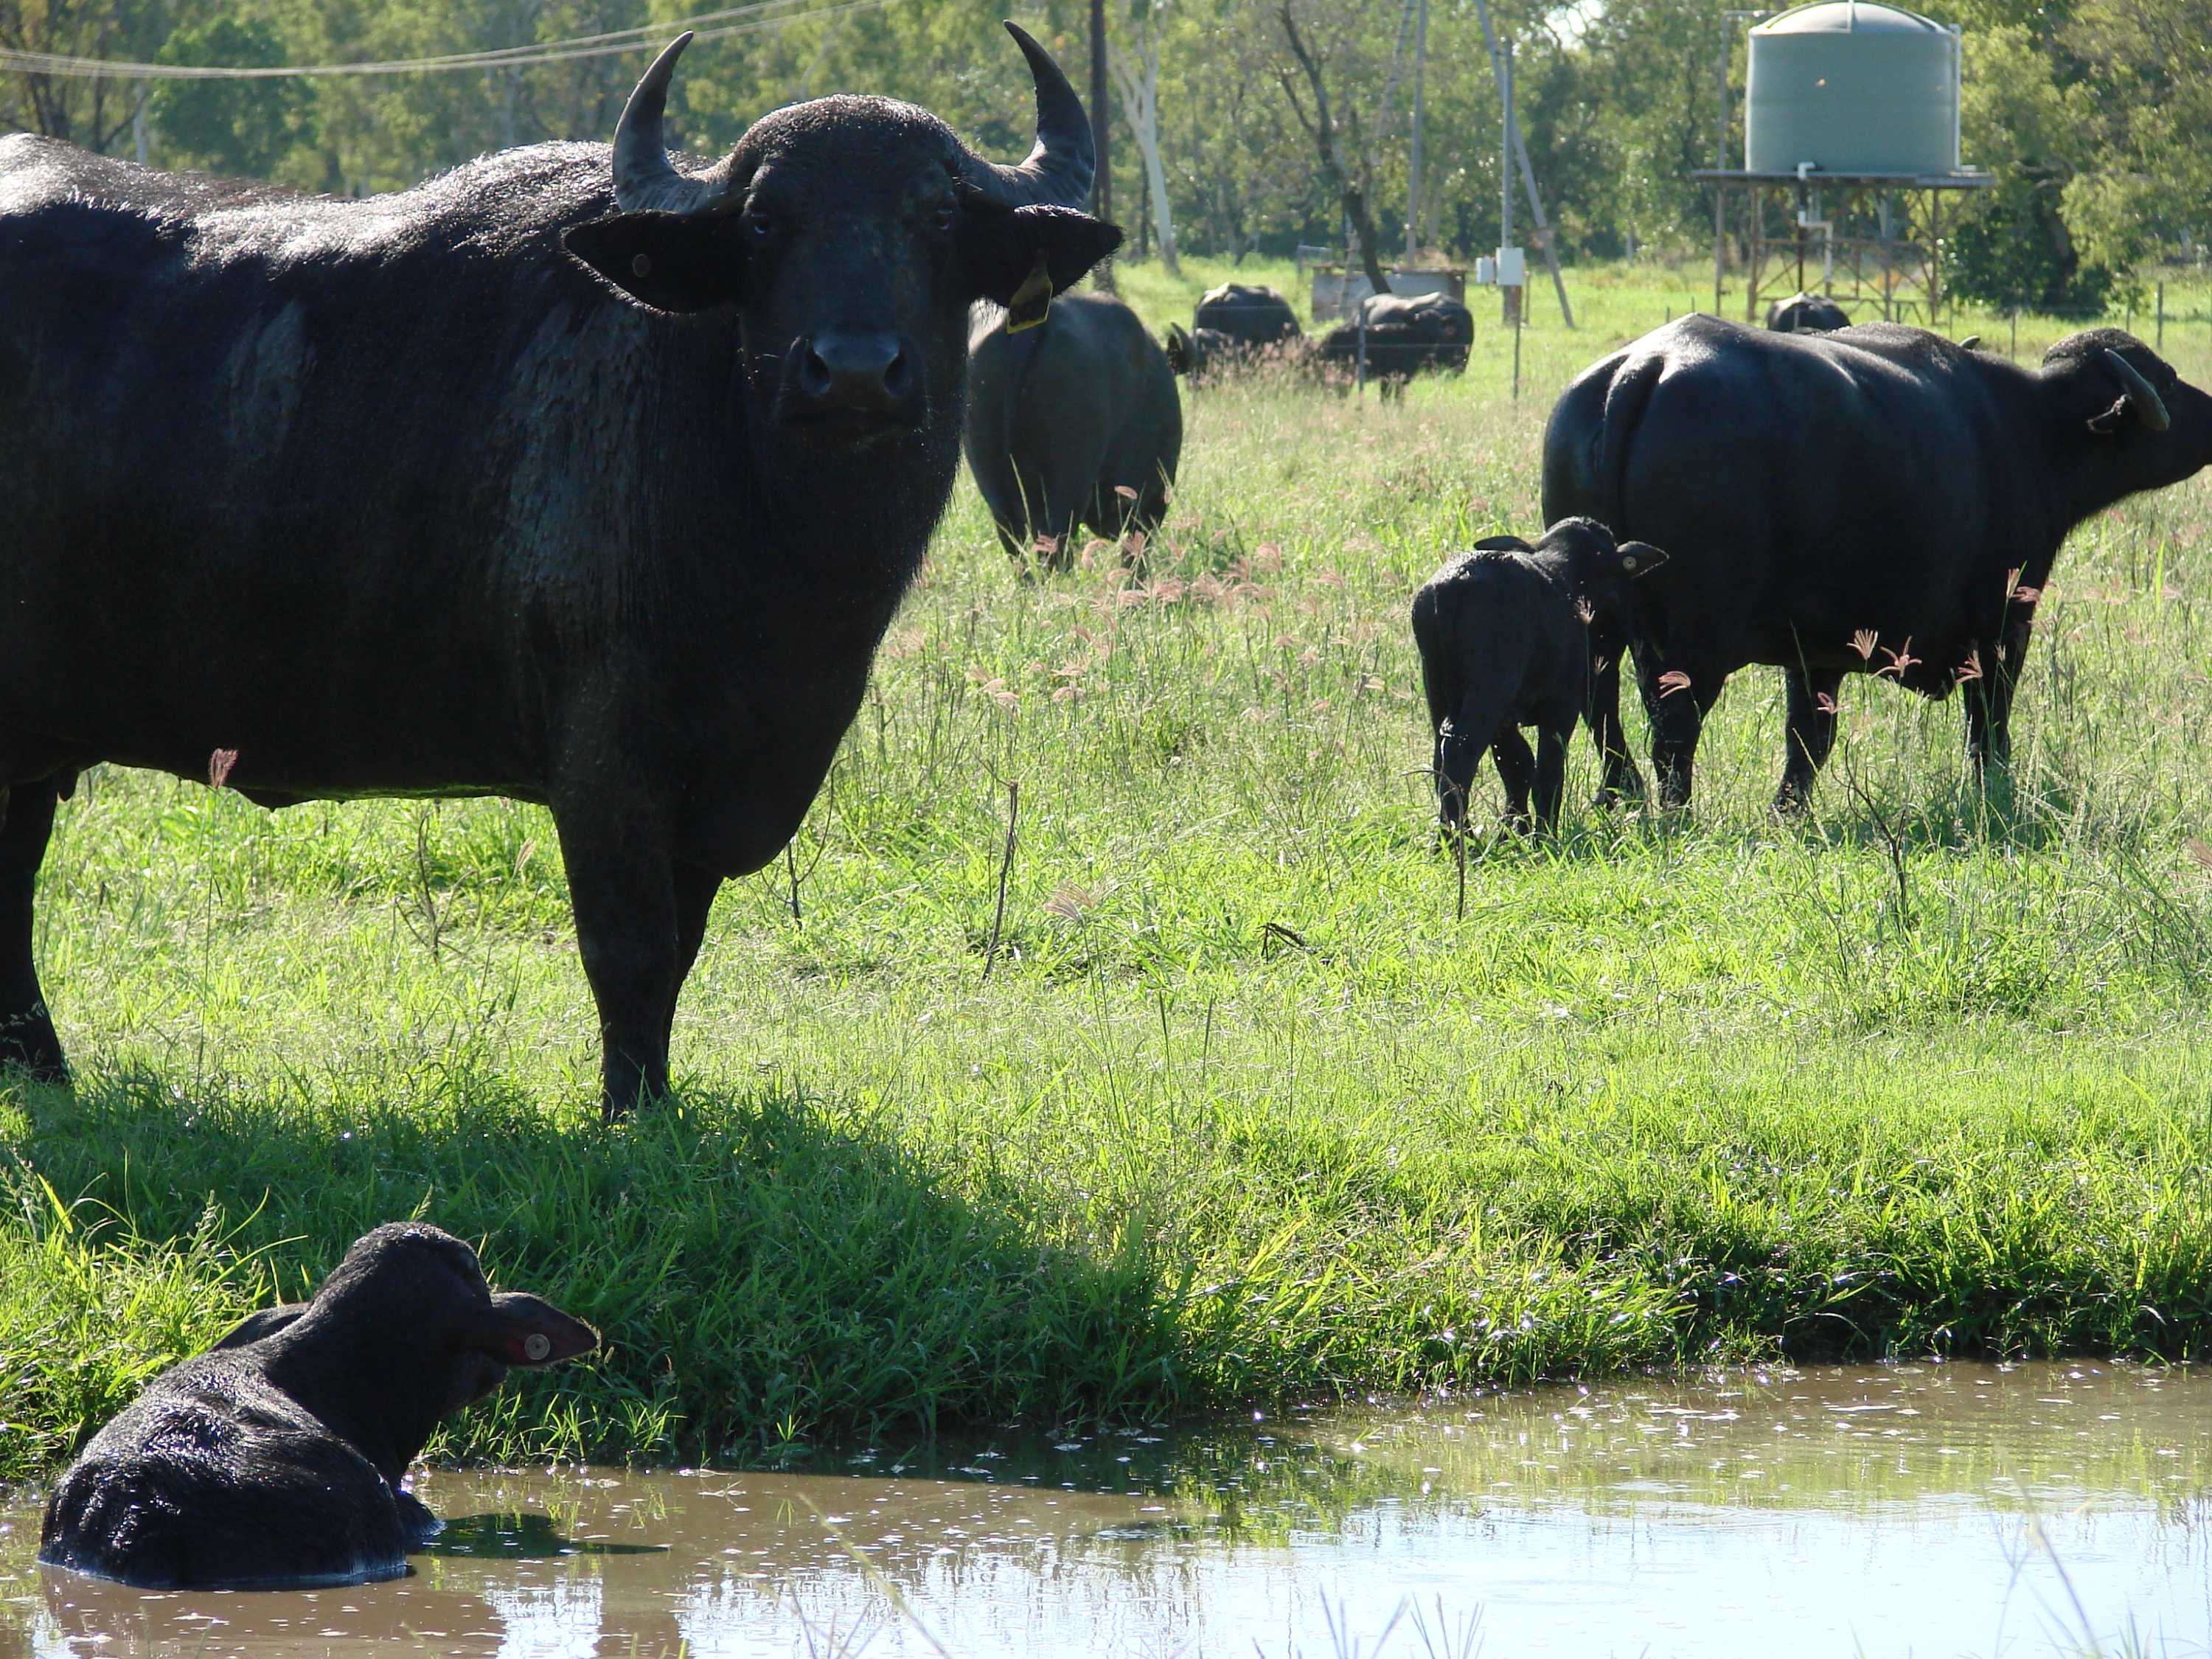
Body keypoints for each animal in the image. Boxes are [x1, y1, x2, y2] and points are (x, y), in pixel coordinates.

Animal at [0, 25, 1116, 1118]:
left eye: (936, 215)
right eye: (765, 221)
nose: (851, 371)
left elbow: (680, 955)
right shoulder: (606, 760)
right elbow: (630, 951)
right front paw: (630, 1113)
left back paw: (41, 1071)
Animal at [1413, 519, 1668, 831]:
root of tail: (1448, 590)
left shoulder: (1507, 717)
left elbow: (1517, 767)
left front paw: (1514, 829)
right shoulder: (1561, 706)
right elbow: (1548, 775)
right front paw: (1543, 835)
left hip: (1438, 682)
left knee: (1442, 758)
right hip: (1490, 686)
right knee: (1462, 753)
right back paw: (1456, 837)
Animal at [1542, 318, 2212, 809]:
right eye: (2168, 381)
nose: (2209, 412)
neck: (2029, 433)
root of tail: (1646, 366)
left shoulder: (1814, 651)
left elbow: (1808, 738)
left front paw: (1788, 811)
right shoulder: (2001, 626)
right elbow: (1988, 726)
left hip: (1601, 626)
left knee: (1603, 706)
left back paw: (1619, 794)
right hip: (1696, 639)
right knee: (1674, 726)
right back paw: (1674, 809)